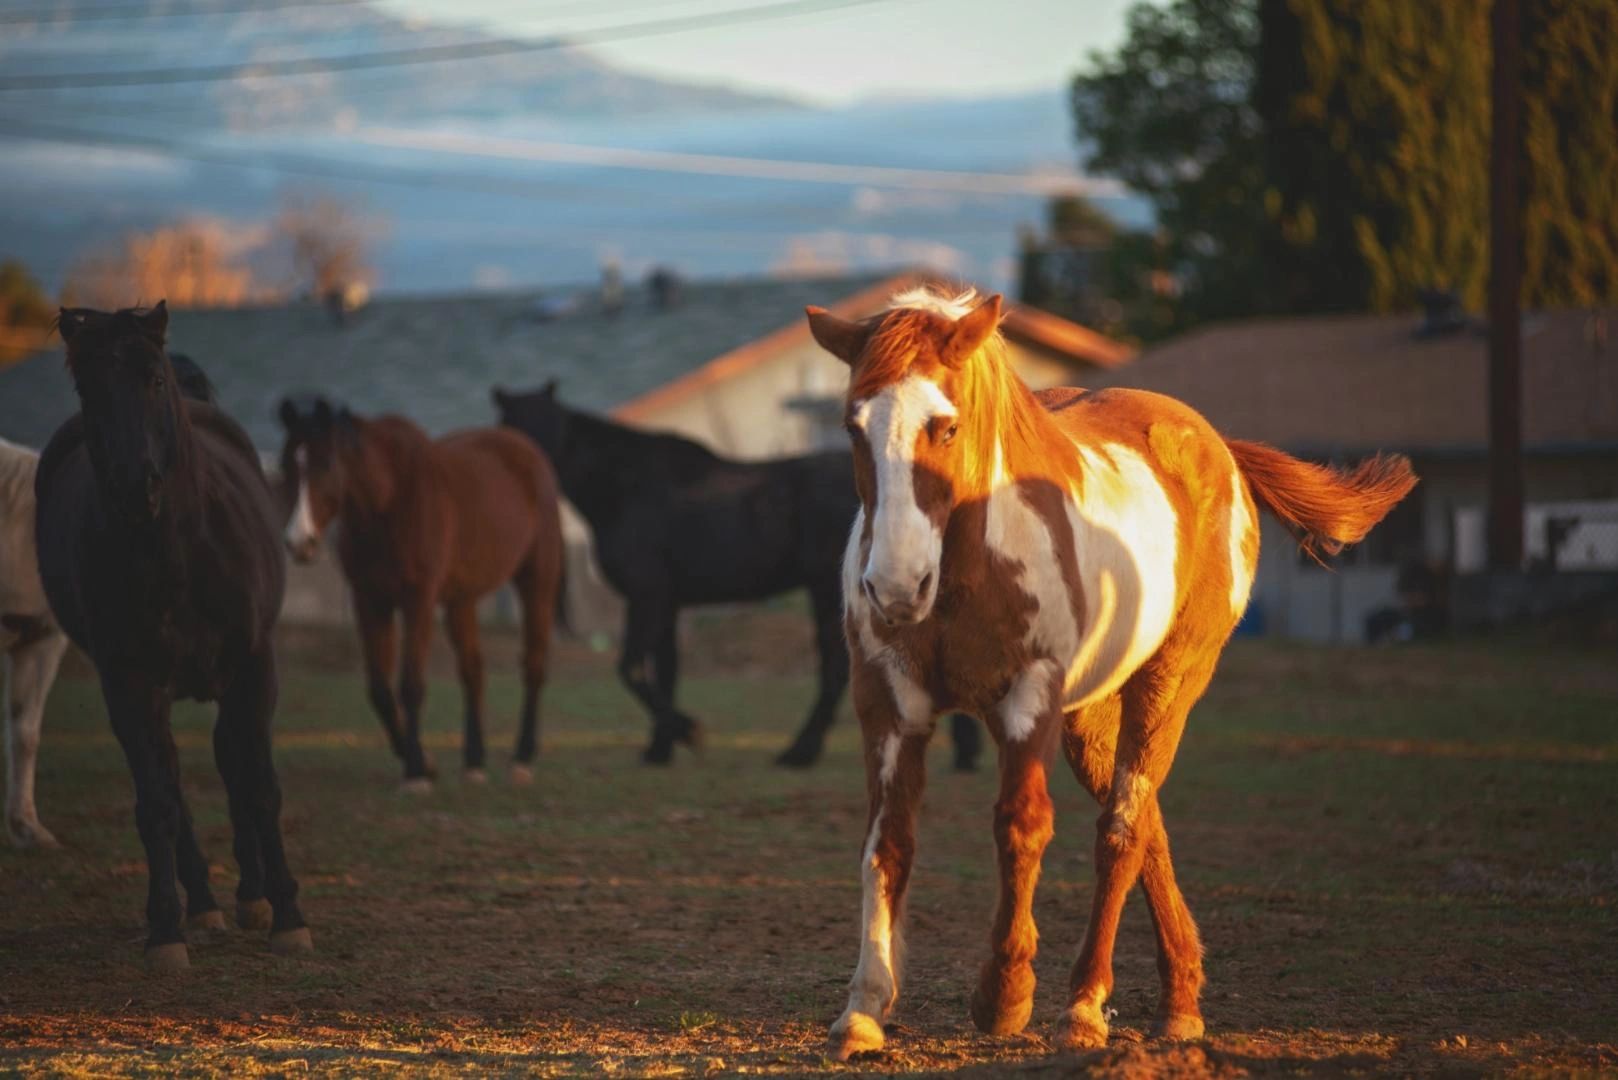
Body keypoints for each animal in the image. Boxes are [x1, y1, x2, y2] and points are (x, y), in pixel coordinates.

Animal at [35, 303, 310, 970]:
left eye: (152, 379)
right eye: (88, 389)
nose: (136, 483)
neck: (177, 556)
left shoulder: (254, 664)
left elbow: (259, 785)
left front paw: (288, 915)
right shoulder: (129, 681)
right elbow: (157, 800)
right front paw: (166, 929)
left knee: (232, 762)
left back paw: (251, 896)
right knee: (176, 782)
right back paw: (205, 904)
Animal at [278, 397, 564, 790]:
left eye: (326, 464)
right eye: (286, 464)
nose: (298, 543)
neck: (390, 501)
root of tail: (526, 450)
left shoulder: (419, 600)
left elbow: (411, 683)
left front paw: (415, 772)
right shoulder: (369, 601)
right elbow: (379, 688)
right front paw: (424, 763)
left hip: (536, 581)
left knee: (533, 664)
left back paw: (521, 759)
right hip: (462, 600)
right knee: (472, 669)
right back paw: (474, 762)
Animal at [492, 383, 982, 769]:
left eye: (554, 426)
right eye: (513, 425)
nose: (534, 469)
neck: (627, 487)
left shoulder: (647, 597)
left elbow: (630, 668)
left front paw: (687, 731)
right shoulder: (666, 603)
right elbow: (665, 670)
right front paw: (660, 748)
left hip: (829, 593)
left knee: (834, 670)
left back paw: (800, 752)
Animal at [804, 286, 1417, 1058]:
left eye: (945, 428)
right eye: (854, 426)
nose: (894, 586)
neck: (966, 568)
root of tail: (1219, 447)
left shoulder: (1028, 698)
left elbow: (1021, 826)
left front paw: (1005, 996)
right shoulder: (887, 704)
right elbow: (887, 844)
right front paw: (863, 1009)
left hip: (1167, 684)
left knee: (1122, 828)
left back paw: (1087, 1007)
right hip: (1088, 719)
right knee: (1145, 822)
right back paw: (1179, 999)